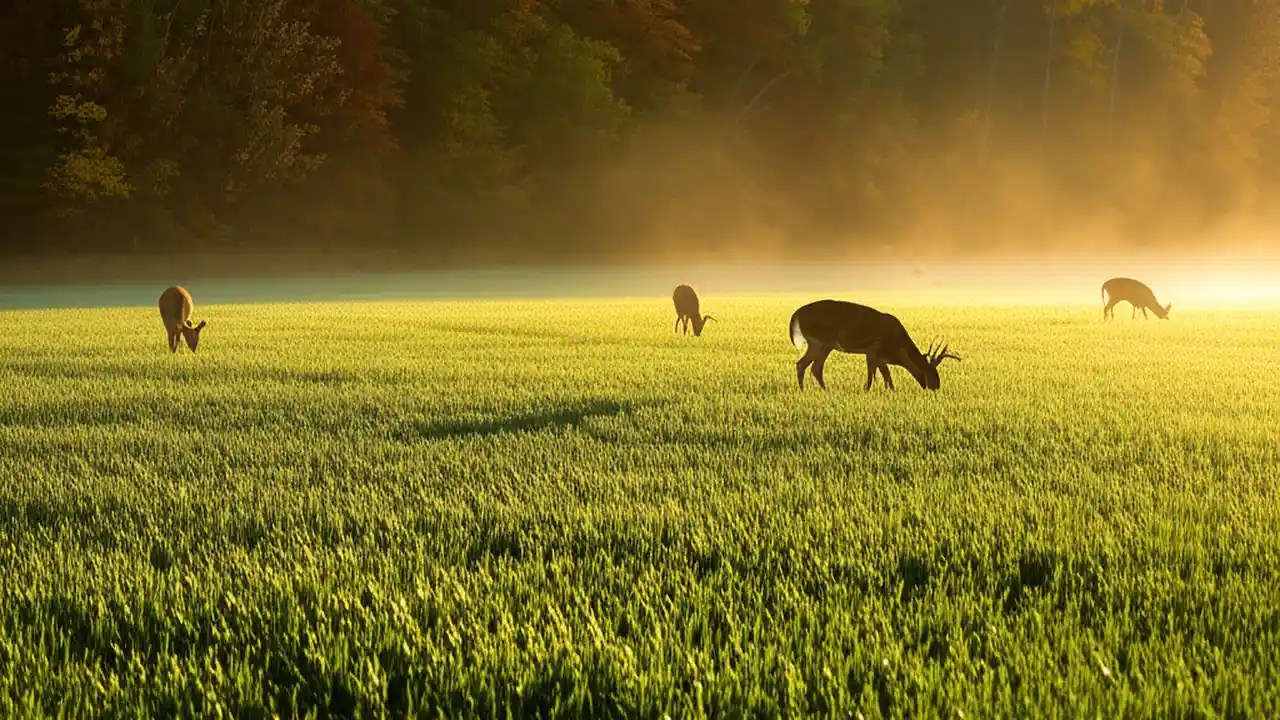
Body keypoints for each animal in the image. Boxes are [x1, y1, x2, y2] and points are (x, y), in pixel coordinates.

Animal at [789, 300, 960, 391]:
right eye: (932, 373)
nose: (936, 387)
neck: (898, 348)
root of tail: (796, 315)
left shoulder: (880, 358)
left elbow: (887, 375)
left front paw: (892, 391)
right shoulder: (872, 349)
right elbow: (872, 374)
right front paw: (867, 390)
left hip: (825, 345)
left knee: (813, 367)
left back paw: (821, 390)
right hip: (818, 342)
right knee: (804, 365)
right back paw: (807, 390)